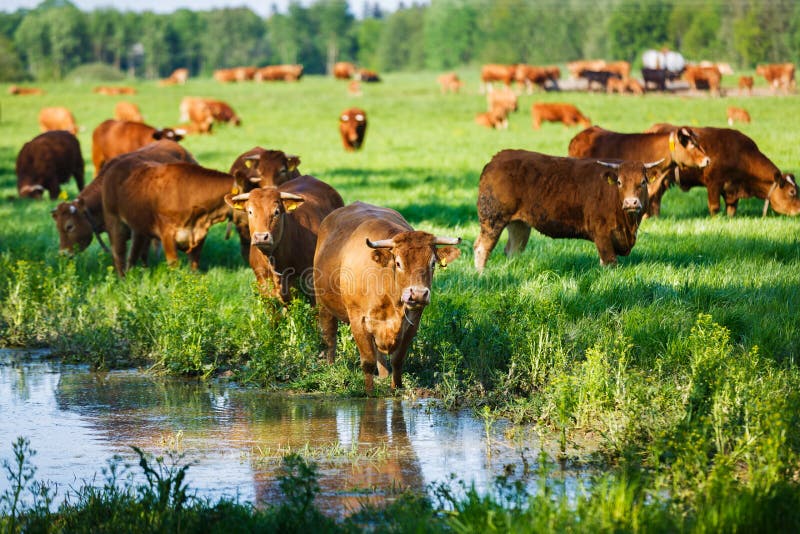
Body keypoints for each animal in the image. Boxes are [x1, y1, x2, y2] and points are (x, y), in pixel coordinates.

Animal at [102, 161, 235, 275]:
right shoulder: (167, 234)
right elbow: (174, 264)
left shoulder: (200, 235)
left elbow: (194, 264)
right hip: (113, 220)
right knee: (118, 254)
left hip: (139, 226)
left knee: (134, 253)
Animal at [314, 201, 462, 393]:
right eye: (398, 263)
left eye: (433, 263)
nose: (418, 294)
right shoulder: (357, 319)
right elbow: (368, 362)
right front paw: (369, 392)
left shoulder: (412, 322)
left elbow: (397, 360)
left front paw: (395, 389)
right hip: (323, 304)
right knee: (329, 336)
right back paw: (330, 366)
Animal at [474, 150, 663, 271]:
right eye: (619, 182)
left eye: (643, 182)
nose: (631, 202)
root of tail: (495, 160)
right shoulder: (602, 235)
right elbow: (609, 262)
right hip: (493, 219)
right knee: (482, 247)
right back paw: (482, 275)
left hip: (519, 224)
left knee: (513, 250)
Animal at [645, 124, 800, 217]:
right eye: (792, 192)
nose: (799, 210)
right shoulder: (713, 183)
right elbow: (714, 207)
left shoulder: (732, 190)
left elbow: (732, 209)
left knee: (655, 199)